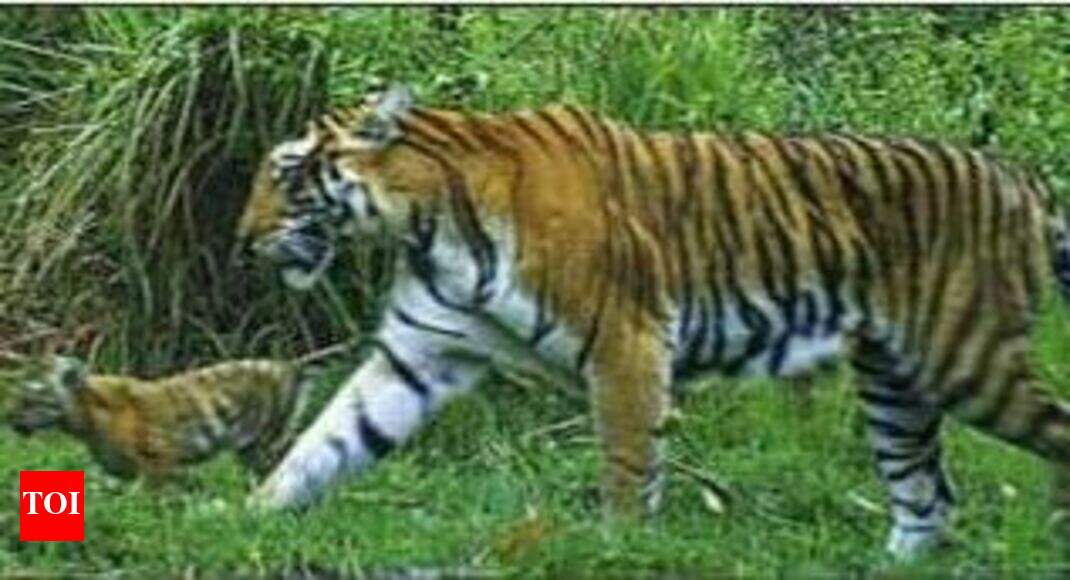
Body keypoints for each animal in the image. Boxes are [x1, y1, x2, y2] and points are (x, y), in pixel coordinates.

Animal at [6, 355, 311, 480]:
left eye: (30, 398)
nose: (8, 419)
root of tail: (291, 367)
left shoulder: (159, 461)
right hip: (251, 450)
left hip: (268, 443)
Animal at [236, 84, 1070, 558]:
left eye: (285, 173)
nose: (243, 240)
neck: (427, 222)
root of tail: (1020, 173)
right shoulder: (419, 355)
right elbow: (326, 444)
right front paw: (245, 519)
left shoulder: (626, 343)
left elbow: (627, 467)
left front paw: (619, 550)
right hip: (896, 381)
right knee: (928, 499)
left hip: (963, 355)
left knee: (1048, 435)